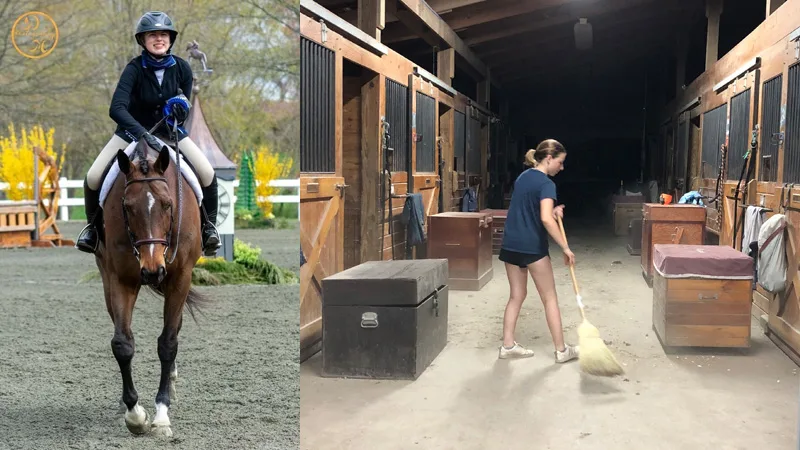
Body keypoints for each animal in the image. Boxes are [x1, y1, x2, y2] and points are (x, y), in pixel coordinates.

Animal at [95, 136, 207, 437]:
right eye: (127, 207)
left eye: (168, 205)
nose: (153, 270)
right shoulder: (120, 279)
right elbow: (122, 344)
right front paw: (135, 414)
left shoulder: (180, 277)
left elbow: (168, 343)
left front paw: (161, 414)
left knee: (175, 329)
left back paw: (171, 381)